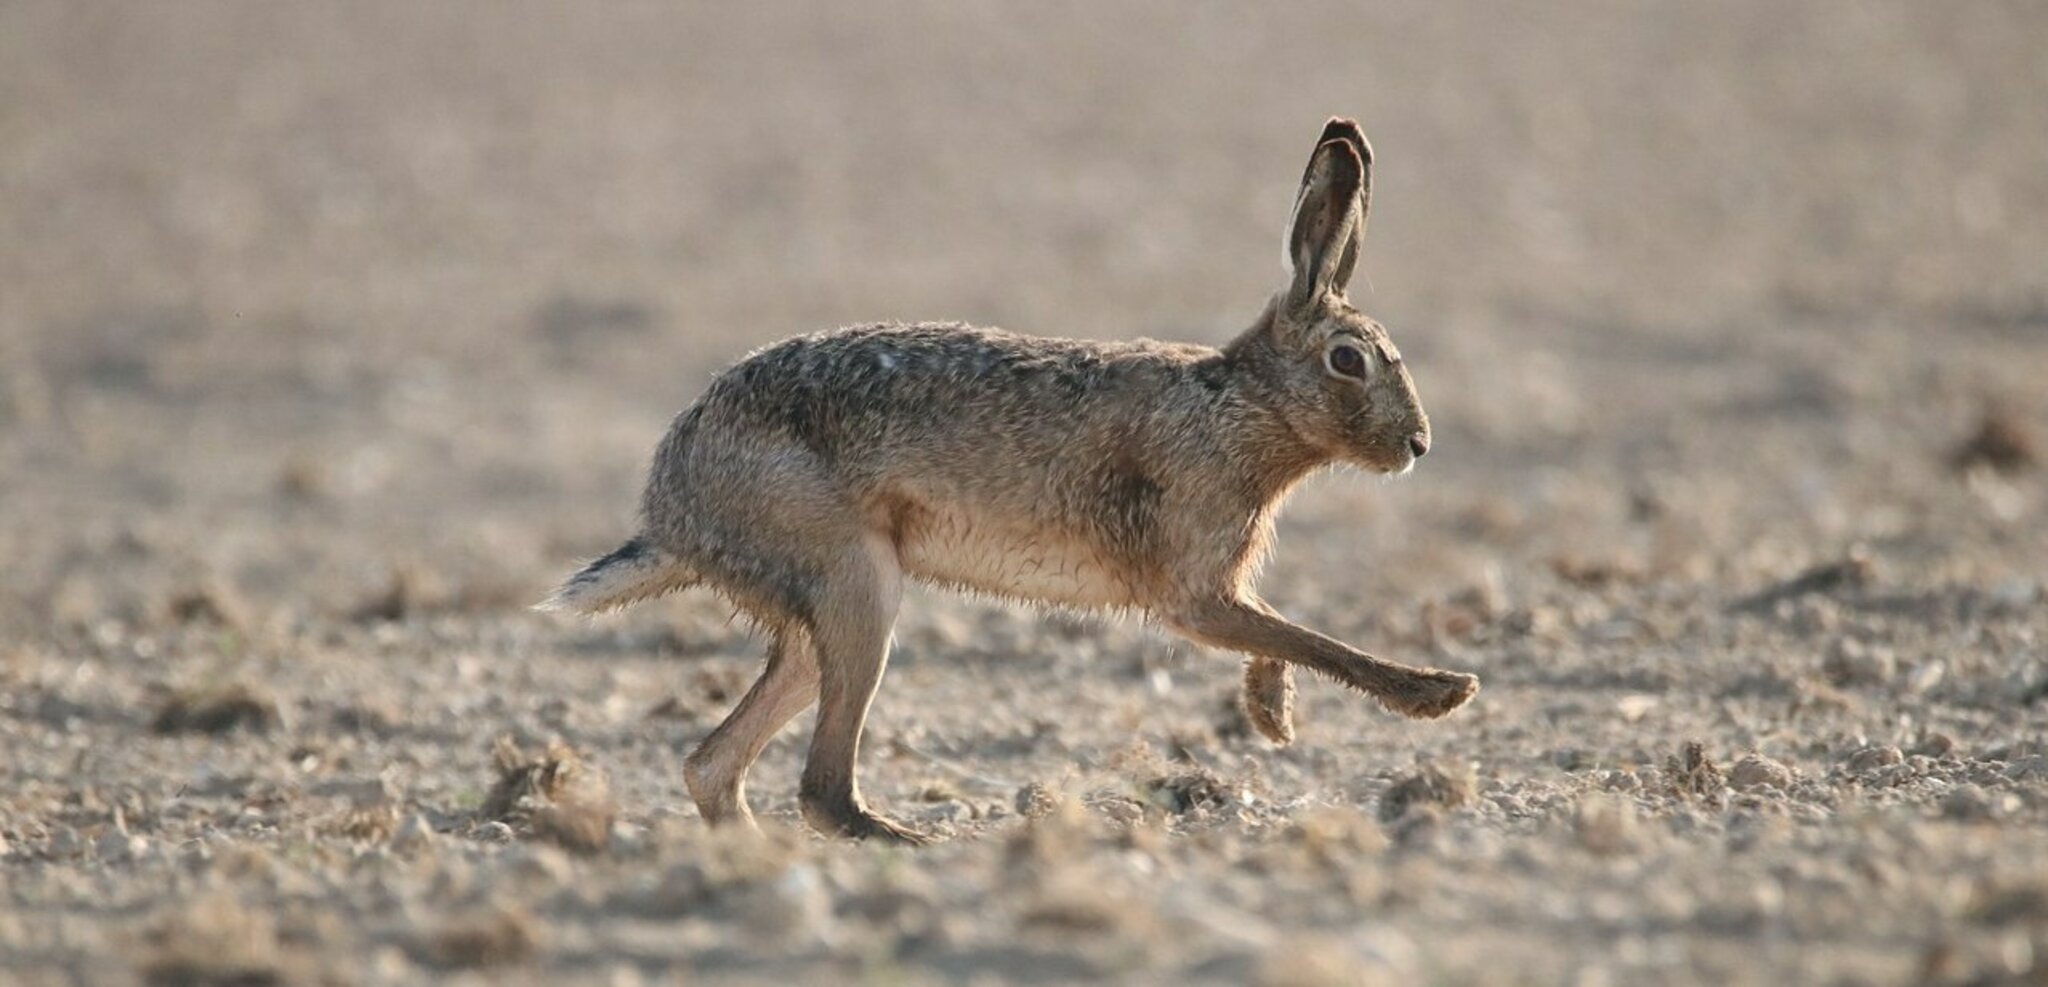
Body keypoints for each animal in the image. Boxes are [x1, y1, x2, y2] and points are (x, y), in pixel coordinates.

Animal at [539, 117, 1479, 843]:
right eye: (1348, 360)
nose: (1418, 444)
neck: (1241, 402)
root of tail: (670, 506)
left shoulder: (1222, 587)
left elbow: (1280, 636)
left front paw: (1271, 714)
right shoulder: (1194, 590)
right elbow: (1308, 637)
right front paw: (1438, 693)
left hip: (821, 619)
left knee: (714, 763)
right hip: (854, 583)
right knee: (819, 786)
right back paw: (902, 841)